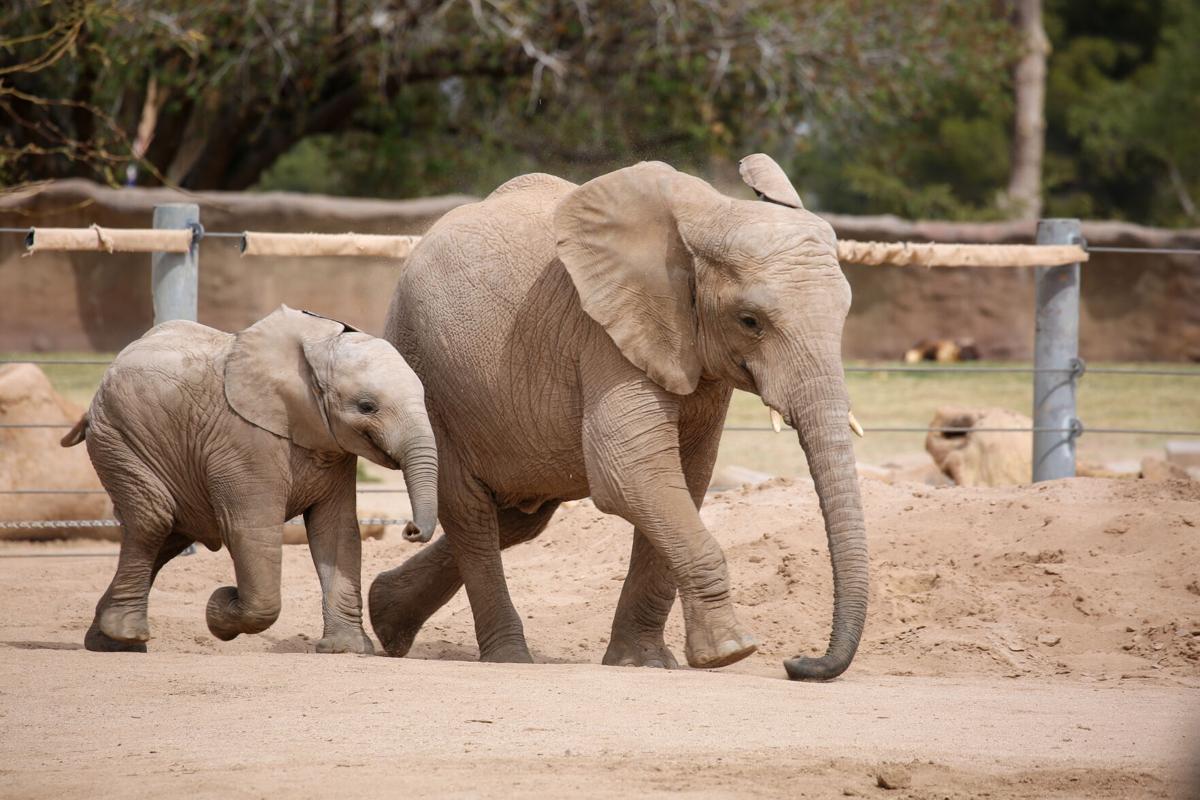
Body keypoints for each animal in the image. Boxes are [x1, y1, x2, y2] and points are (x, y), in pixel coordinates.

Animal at [63, 305, 438, 654]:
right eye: (367, 406)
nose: (410, 530)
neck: (313, 353)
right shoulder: (245, 440)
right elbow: (252, 528)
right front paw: (220, 607)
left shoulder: (333, 447)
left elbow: (337, 531)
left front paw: (346, 650)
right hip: (119, 438)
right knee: (154, 521)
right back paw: (127, 634)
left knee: (169, 534)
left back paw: (108, 641)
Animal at [369, 154, 867, 680]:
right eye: (750, 321)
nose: (798, 663)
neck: (706, 215)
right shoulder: (605, 336)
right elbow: (632, 473)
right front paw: (731, 651)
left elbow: (684, 479)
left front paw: (646, 662)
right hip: (426, 376)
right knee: (472, 515)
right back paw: (507, 656)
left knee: (519, 519)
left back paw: (385, 619)